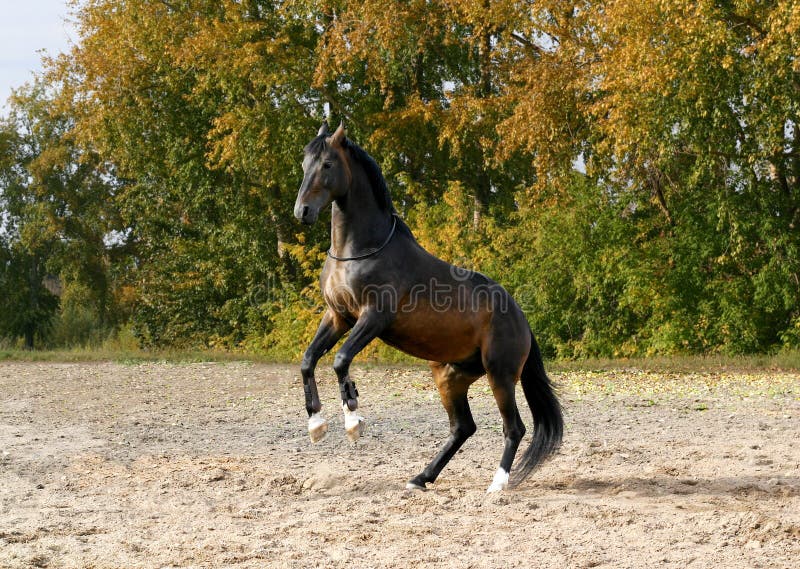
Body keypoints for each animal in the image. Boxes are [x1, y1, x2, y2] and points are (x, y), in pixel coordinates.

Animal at [293, 121, 563, 492]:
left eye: (328, 164)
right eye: (304, 164)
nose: (302, 212)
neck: (359, 251)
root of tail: (520, 318)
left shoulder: (373, 318)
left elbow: (340, 360)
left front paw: (353, 421)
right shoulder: (338, 317)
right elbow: (308, 361)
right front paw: (316, 425)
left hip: (501, 374)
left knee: (514, 428)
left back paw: (497, 485)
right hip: (450, 377)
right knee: (463, 428)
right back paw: (421, 478)